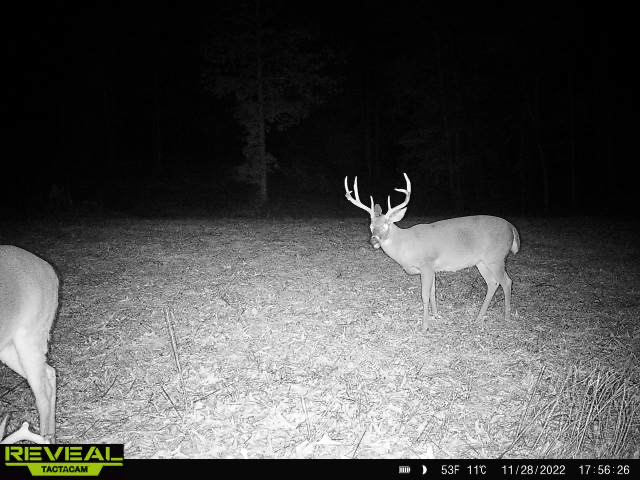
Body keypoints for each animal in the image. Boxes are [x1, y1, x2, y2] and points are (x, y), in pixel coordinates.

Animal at [344, 173, 520, 330]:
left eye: (387, 224)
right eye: (371, 225)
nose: (373, 240)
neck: (406, 245)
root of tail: (512, 228)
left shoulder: (426, 264)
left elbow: (425, 295)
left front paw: (424, 326)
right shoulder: (433, 268)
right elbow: (433, 292)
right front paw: (436, 315)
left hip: (496, 257)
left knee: (507, 282)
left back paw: (507, 317)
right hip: (482, 261)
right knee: (493, 283)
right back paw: (478, 318)